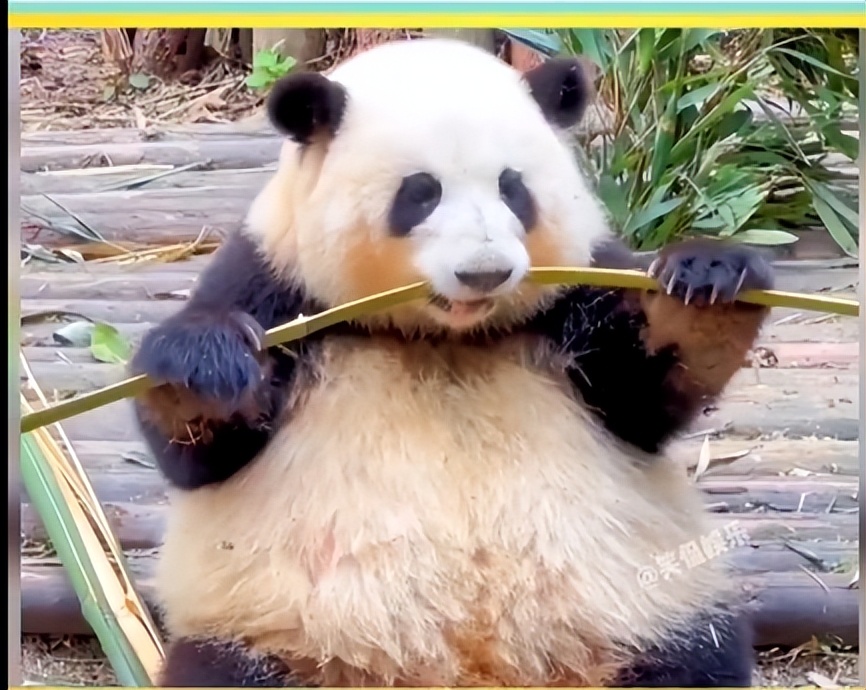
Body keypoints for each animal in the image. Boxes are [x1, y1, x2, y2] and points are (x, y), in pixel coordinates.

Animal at [131, 37, 773, 688]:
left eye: (513, 188)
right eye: (420, 193)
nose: (484, 272)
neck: (441, 335)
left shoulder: (577, 289)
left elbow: (645, 393)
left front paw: (708, 277)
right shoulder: (277, 287)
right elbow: (202, 453)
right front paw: (207, 362)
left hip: (651, 616)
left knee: (698, 658)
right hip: (271, 635)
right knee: (225, 669)